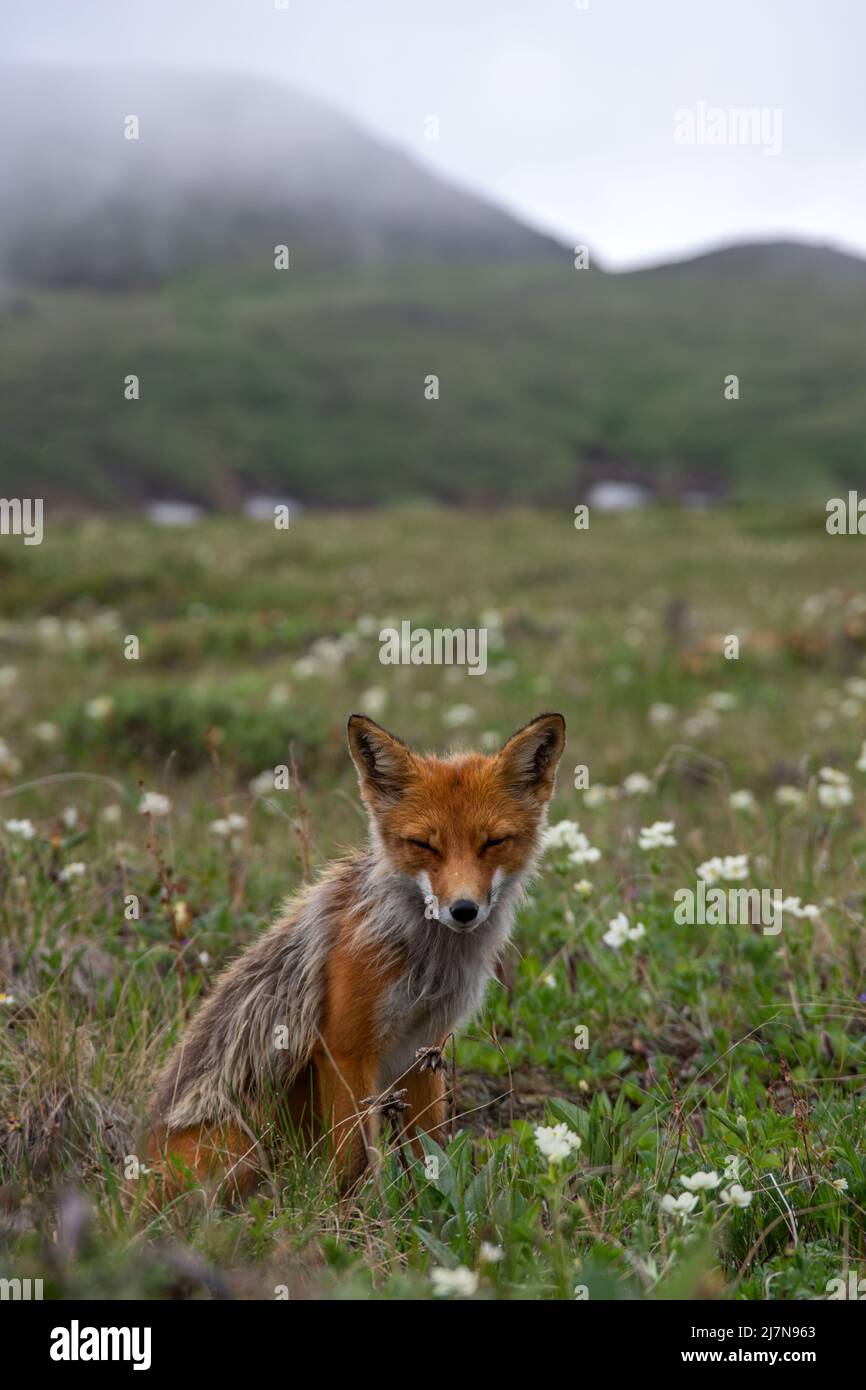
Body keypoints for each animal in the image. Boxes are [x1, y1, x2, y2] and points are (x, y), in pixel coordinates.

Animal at [146, 710, 566, 1197]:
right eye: (424, 845)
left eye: (493, 842)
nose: (463, 910)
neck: (427, 962)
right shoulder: (344, 1051)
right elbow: (352, 1161)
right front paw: (350, 1213)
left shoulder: (424, 1051)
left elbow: (432, 1151)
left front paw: (428, 1204)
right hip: (243, 1148)